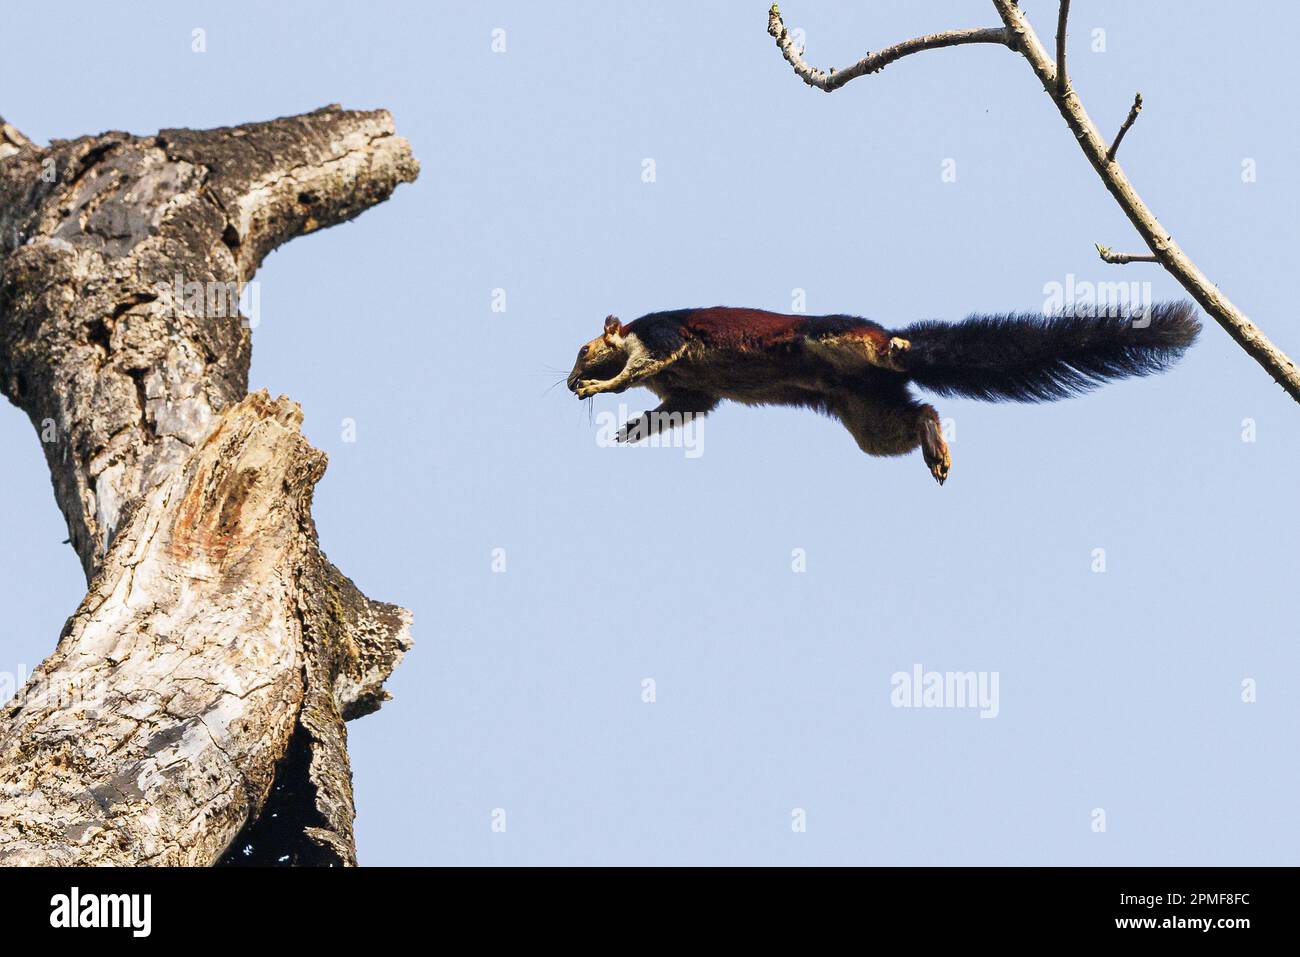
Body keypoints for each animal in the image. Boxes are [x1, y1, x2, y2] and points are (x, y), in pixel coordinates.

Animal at [567, 304, 1200, 484]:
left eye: (581, 349)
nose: (571, 379)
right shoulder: (689, 393)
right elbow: (682, 410)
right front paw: (632, 428)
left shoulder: (662, 337)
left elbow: (641, 365)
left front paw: (603, 386)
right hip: (868, 416)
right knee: (919, 411)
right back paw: (936, 448)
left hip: (833, 337)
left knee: (893, 359)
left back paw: (899, 346)